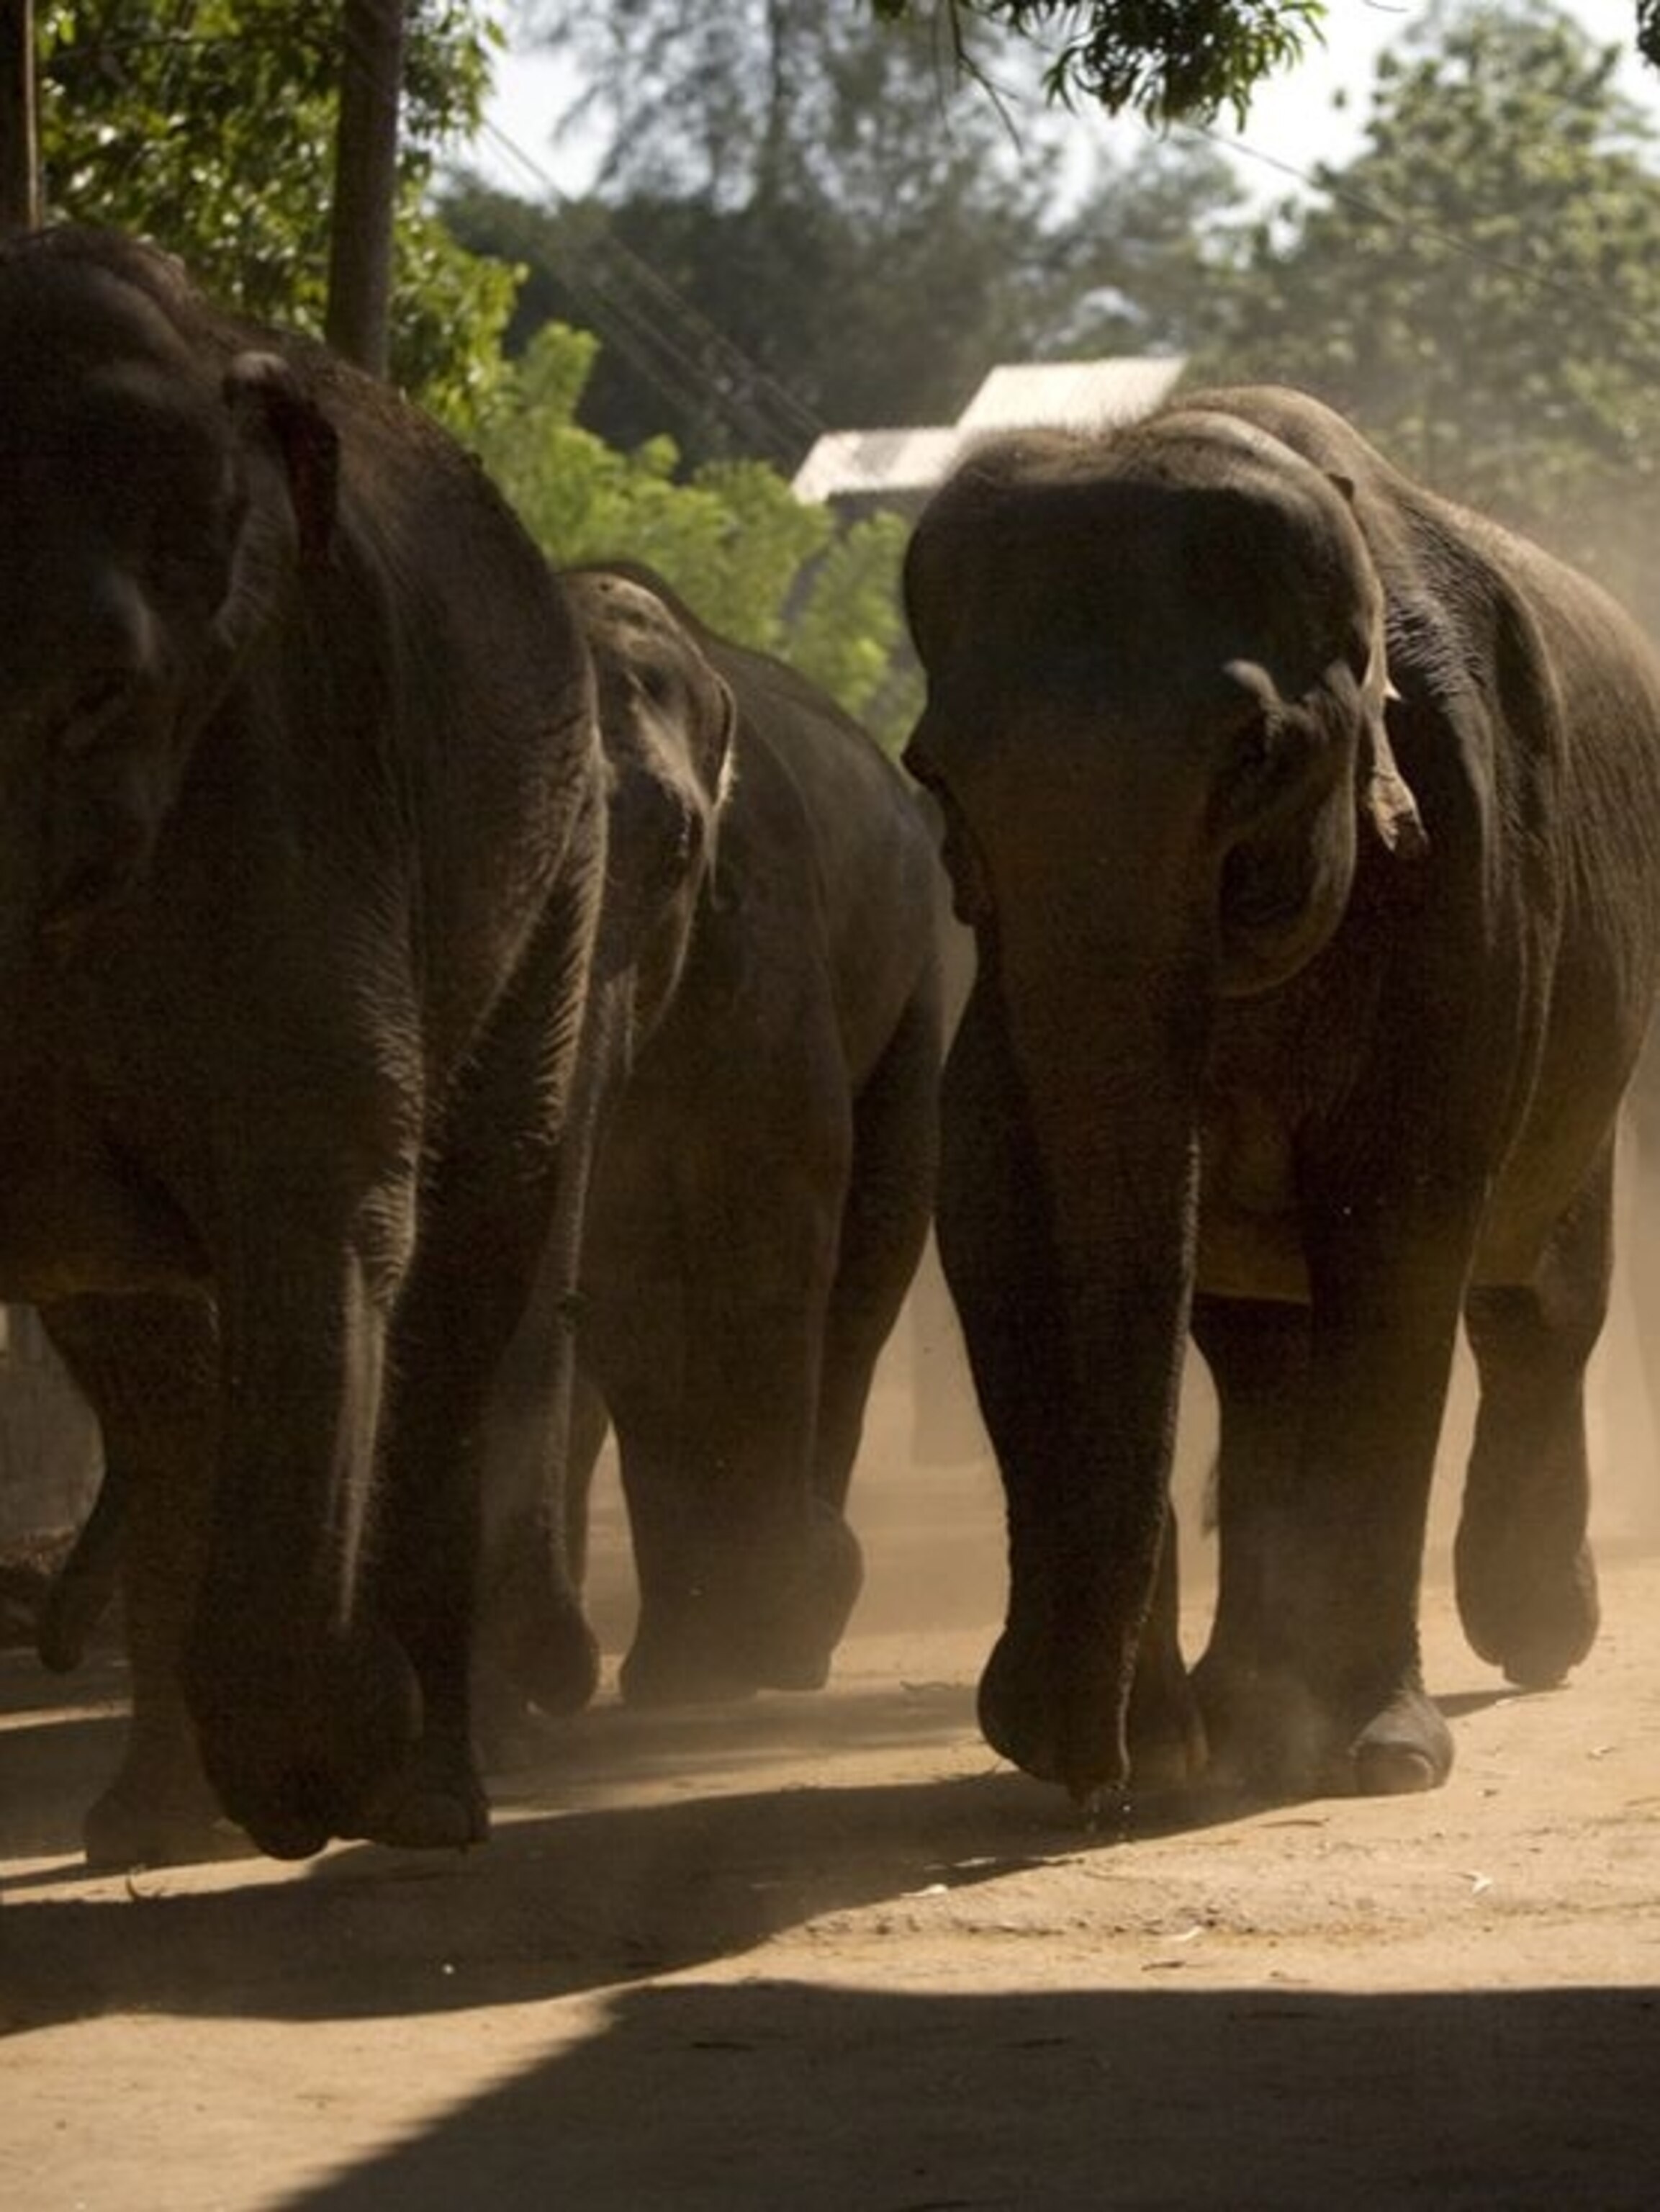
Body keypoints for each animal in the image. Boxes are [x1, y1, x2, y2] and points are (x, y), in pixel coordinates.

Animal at [0, 227, 607, 1867]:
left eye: (98, 694)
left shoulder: (291, 777)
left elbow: (320, 1201)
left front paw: (327, 1764)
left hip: (556, 884)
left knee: (459, 1275)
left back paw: (418, 1801)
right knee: (147, 1353)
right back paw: (154, 1827)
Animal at [478, 564, 944, 1720]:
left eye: (680, 848)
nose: (562, 1666)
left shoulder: (762, 928)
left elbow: (755, 1227)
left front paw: (756, 1640)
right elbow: (632, 1267)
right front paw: (692, 1667)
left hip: (918, 983)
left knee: (868, 1268)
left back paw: (798, 1638)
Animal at [901, 384, 1660, 1806]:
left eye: (1254, 756)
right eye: (931, 772)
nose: (1099, 1772)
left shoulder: (1470, 869)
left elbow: (1395, 1223)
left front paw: (1381, 1758)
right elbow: (986, 1198)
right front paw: (1137, 1750)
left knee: (1536, 1303)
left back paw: (1525, 1638)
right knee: (1262, 1351)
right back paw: (1242, 1713)